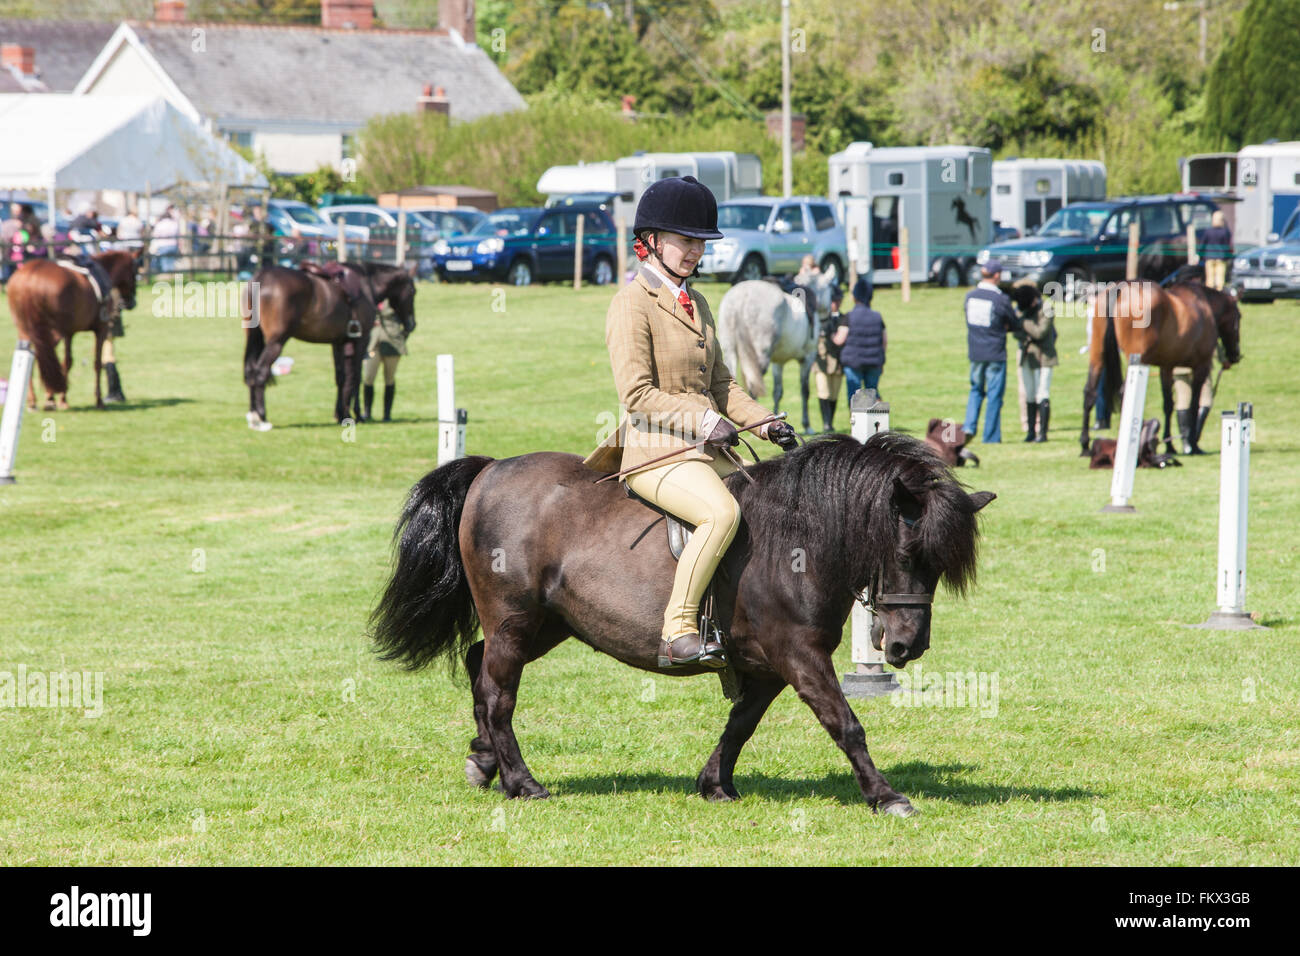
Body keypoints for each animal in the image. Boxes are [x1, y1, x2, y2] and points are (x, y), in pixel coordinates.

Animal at [6, 249, 141, 410]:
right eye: (134, 272)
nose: (132, 303)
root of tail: (30, 276)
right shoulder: (100, 330)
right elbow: (96, 363)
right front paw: (97, 400)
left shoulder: (69, 333)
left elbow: (67, 362)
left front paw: (61, 398)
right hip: (52, 332)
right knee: (43, 355)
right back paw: (48, 397)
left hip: (26, 330)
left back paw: (34, 400)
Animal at [242, 261, 416, 429]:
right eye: (413, 291)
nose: (412, 324)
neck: (367, 284)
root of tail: (262, 277)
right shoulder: (361, 340)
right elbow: (356, 377)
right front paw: (358, 416)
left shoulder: (338, 342)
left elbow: (341, 377)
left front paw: (342, 415)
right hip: (276, 341)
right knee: (260, 372)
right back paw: (262, 417)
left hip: (255, 338)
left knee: (251, 371)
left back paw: (252, 415)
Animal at [369, 432, 995, 816]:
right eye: (906, 552)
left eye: (940, 566)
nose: (907, 646)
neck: (800, 538)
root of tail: (490, 471)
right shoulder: (799, 655)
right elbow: (846, 725)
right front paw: (886, 796)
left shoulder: (768, 666)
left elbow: (741, 725)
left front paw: (714, 784)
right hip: (514, 621)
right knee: (499, 693)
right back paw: (523, 783)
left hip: (546, 624)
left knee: (478, 666)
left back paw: (484, 762)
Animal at [716, 266, 838, 433]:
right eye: (831, 291)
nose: (829, 328)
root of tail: (742, 297)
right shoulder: (807, 358)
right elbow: (805, 391)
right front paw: (807, 425)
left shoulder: (778, 363)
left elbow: (777, 392)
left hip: (729, 352)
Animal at [1081, 279, 1241, 456]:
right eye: (1238, 317)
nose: (1235, 355)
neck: (1203, 305)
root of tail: (1122, 287)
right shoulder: (1201, 367)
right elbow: (1194, 404)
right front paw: (1192, 443)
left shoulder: (1167, 367)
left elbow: (1168, 405)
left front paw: (1170, 445)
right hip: (1136, 359)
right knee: (1124, 394)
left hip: (1097, 355)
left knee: (1090, 393)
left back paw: (1085, 445)